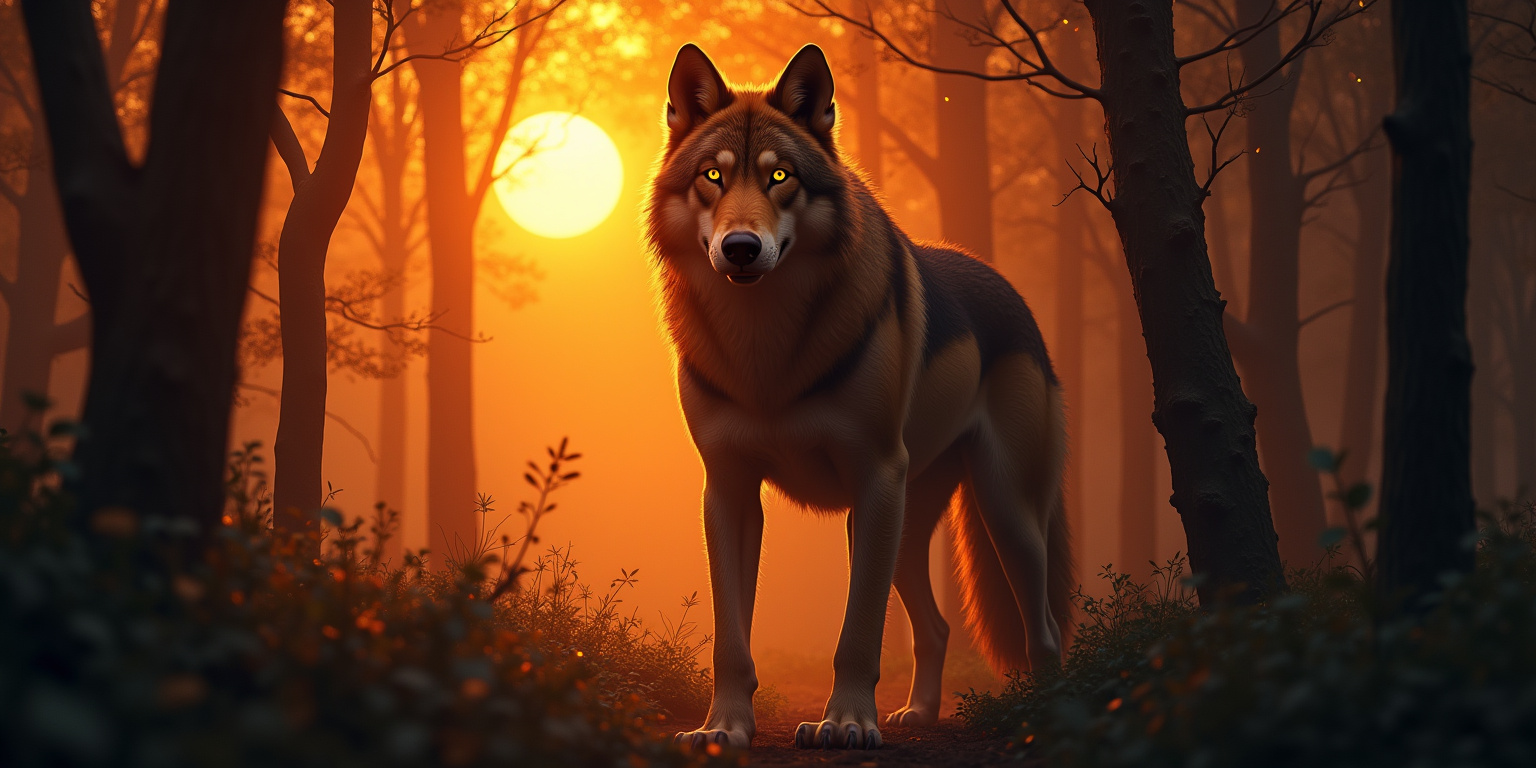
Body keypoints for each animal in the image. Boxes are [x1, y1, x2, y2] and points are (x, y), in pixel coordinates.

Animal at [645, 43, 1073, 751]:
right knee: (937, 627)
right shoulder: (728, 489)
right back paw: (919, 714)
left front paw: (846, 721)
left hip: (1000, 513)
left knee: (1044, 629)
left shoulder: (874, 477)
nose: (741, 248)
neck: (766, 346)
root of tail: (1012, 295)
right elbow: (731, 637)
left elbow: (858, 634)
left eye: (780, 176)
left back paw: (1044, 715)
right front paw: (723, 727)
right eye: (712, 176)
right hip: (904, 527)